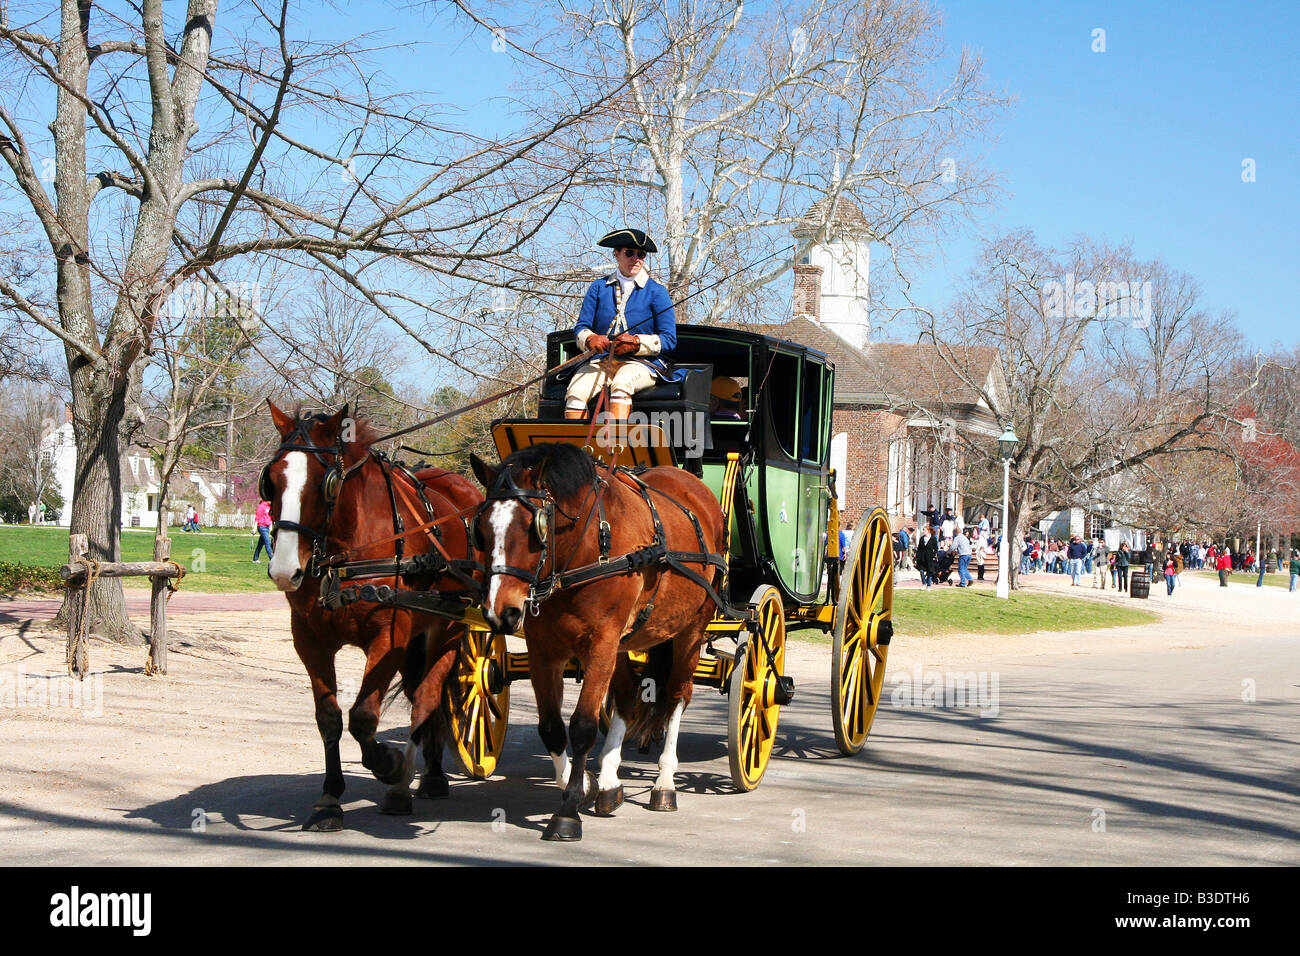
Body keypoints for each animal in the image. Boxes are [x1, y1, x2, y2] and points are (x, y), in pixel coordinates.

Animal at [262, 401, 483, 831]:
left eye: (324, 483)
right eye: (272, 481)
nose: (283, 570)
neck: (347, 550)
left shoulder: (389, 636)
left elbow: (363, 716)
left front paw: (389, 765)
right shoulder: (310, 641)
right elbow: (330, 718)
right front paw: (330, 799)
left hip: (448, 627)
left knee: (427, 697)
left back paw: (411, 783)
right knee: (419, 696)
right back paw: (427, 776)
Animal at [469, 442, 727, 841]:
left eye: (534, 527)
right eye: (480, 529)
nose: (501, 611)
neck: (590, 547)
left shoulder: (601, 643)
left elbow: (582, 726)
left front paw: (568, 811)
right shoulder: (544, 650)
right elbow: (551, 727)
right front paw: (588, 784)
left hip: (690, 631)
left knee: (675, 697)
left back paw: (665, 784)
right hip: (625, 643)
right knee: (627, 696)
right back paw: (609, 783)